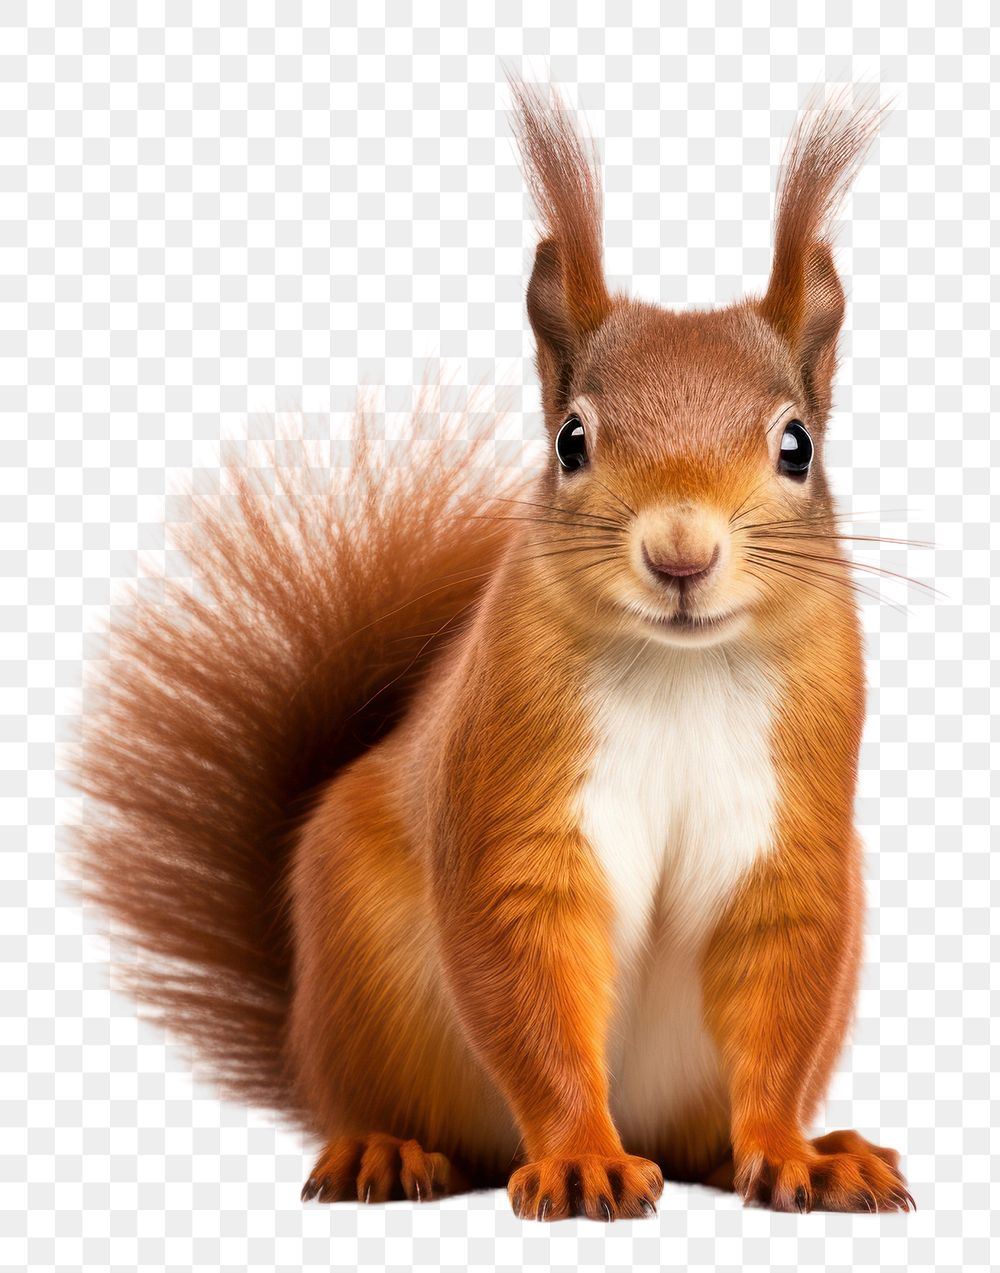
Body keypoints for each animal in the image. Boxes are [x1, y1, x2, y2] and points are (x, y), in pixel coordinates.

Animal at [74, 81, 913, 1220]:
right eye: (570, 439)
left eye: (797, 446)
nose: (681, 552)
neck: (679, 668)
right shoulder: (512, 801)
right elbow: (530, 990)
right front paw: (581, 1159)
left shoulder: (793, 838)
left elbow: (780, 1005)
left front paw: (791, 1151)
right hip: (362, 973)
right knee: (399, 1112)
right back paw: (386, 1151)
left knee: (701, 1136)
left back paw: (820, 1146)